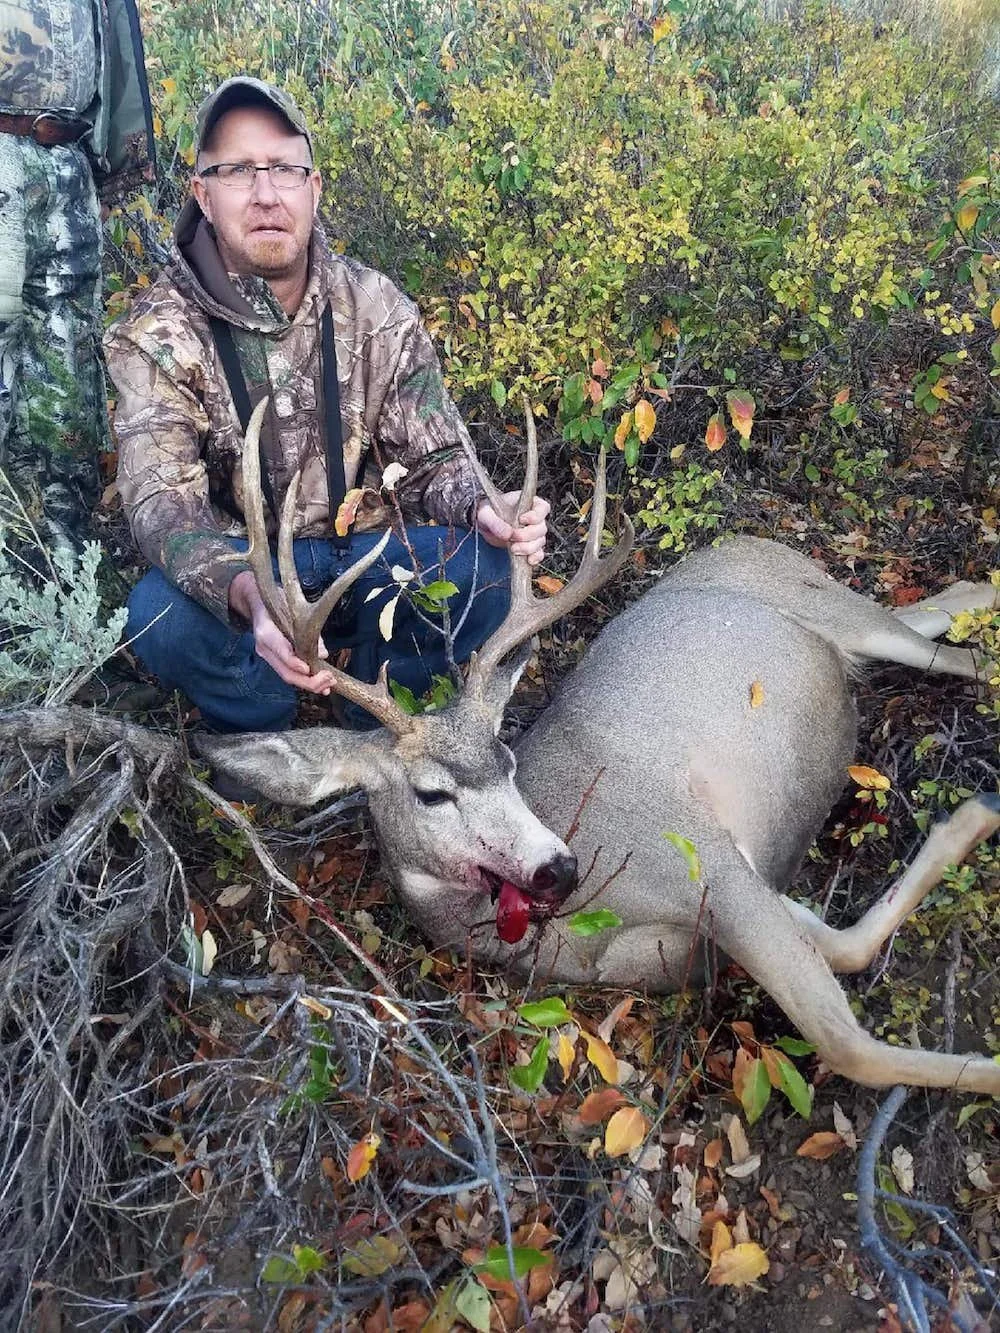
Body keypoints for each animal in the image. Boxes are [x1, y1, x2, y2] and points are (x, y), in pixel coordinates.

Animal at [197, 398, 1000, 1096]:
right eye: (430, 791)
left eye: (507, 760)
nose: (557, 865)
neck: (573, 935)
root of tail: (755, 540)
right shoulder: (712, 915)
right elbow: (842, 947)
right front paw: (967, 819)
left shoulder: (702, 855)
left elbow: (848, 1042)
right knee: (950, 606)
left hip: (834, 610)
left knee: (961, 648)